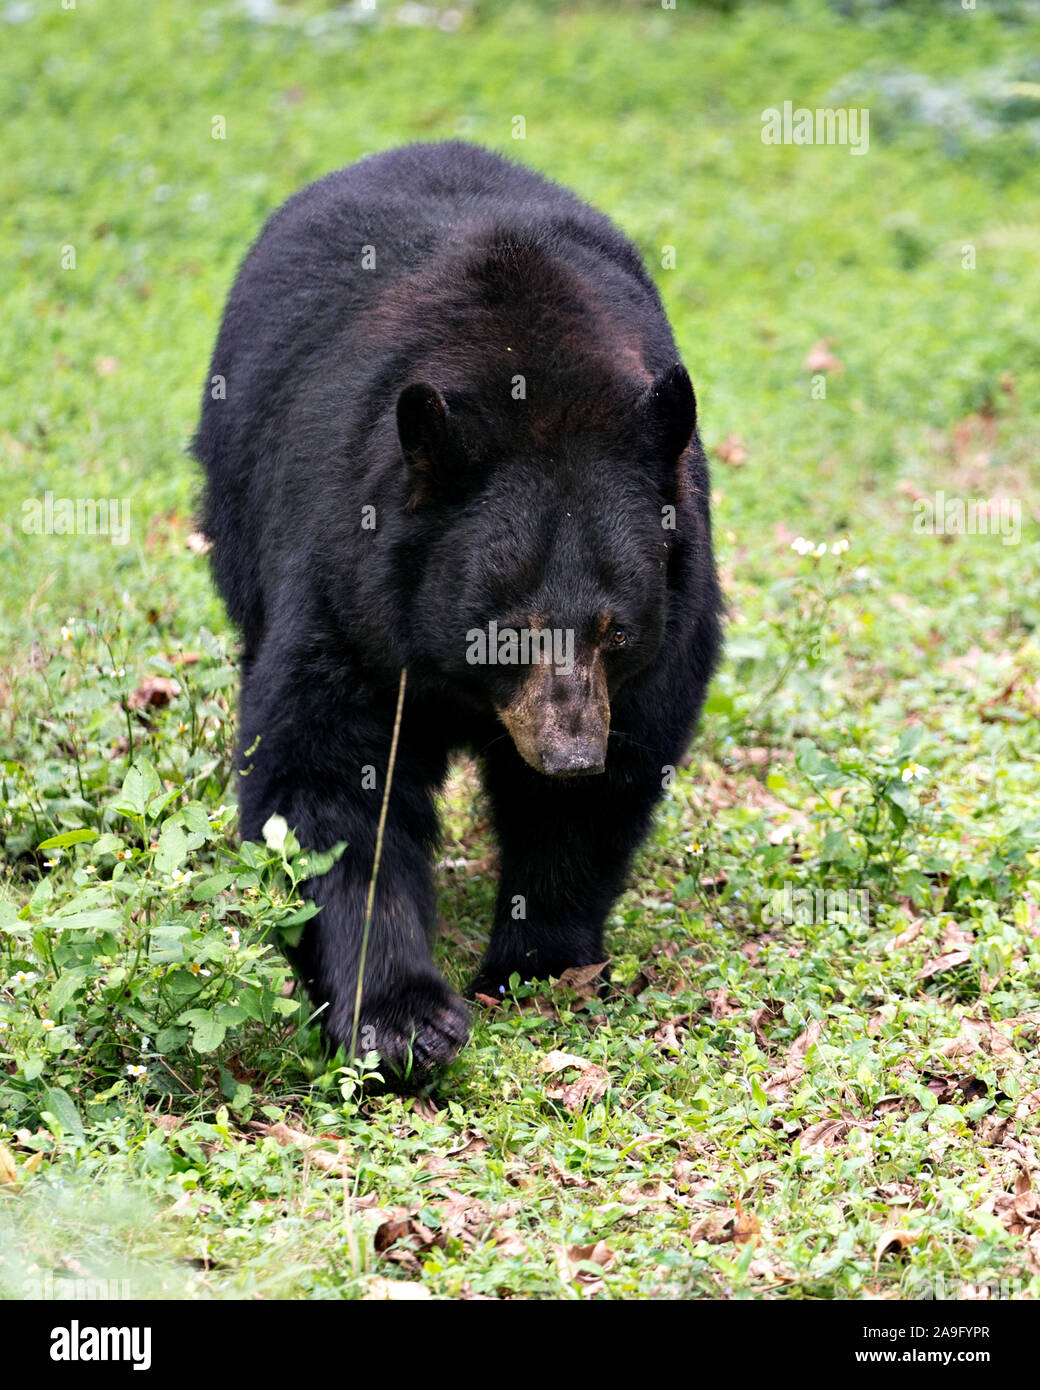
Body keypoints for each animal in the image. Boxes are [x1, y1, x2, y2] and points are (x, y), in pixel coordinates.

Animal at [194, 141, 722, 1078]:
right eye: (502, 632)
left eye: (616, 630)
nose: (568, 755)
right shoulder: (349, 579)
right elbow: (328, 775)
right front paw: (401, 1020)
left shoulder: (669, 617)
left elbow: (612, 781)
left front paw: (539, 959)